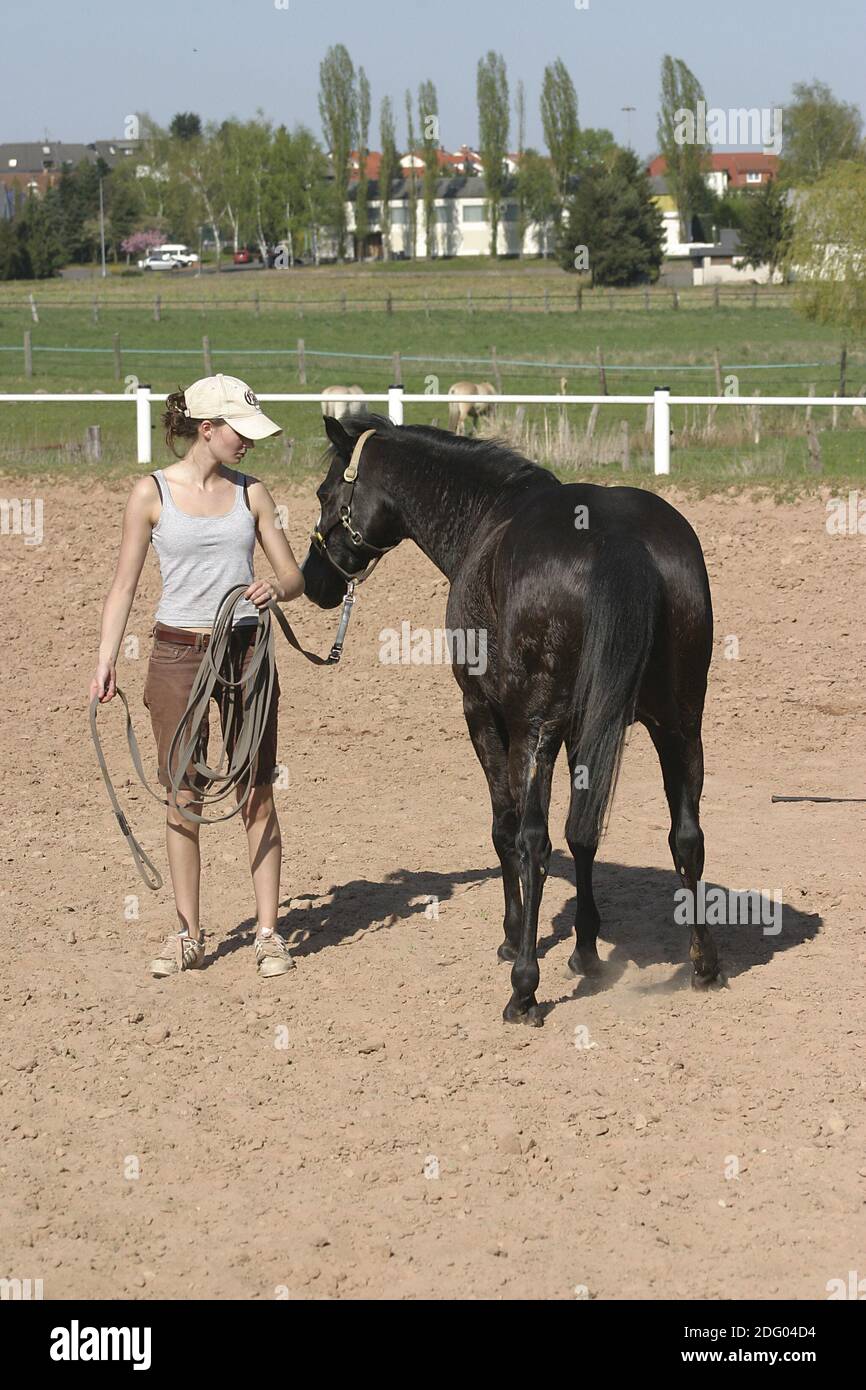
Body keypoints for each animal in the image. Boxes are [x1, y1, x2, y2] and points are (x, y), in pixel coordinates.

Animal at [301, 414, 719, 1025]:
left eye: (324, 492)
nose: (313, 581)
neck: (489, 511)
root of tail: (618, 540)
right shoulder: (584, 729)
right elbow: (583, 835)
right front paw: (586, 949)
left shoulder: (484, 715)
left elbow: (507, 830)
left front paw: (512, 937)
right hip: (680, 726)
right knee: (686, 837)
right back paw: (704, 964)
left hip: (536, 732)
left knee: (533, 843)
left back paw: (523, 990)